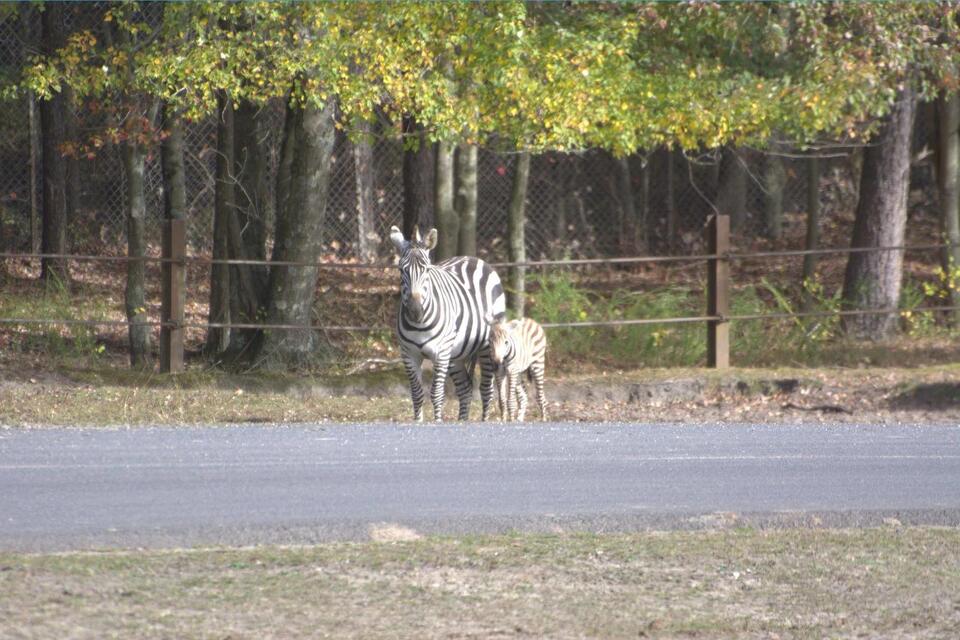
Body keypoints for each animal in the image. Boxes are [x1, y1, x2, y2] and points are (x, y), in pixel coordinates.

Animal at [390, 225, 506, 422]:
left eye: (427, 270)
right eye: (401, 270)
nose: (415, 310)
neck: (419, 325)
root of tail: (471, 258)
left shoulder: (441, 353)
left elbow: (436, 394)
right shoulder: (409, 355)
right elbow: (416, 394)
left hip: (486, 347)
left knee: (486, 390)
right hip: (456, 355)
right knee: (465, 389)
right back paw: (461, 421)